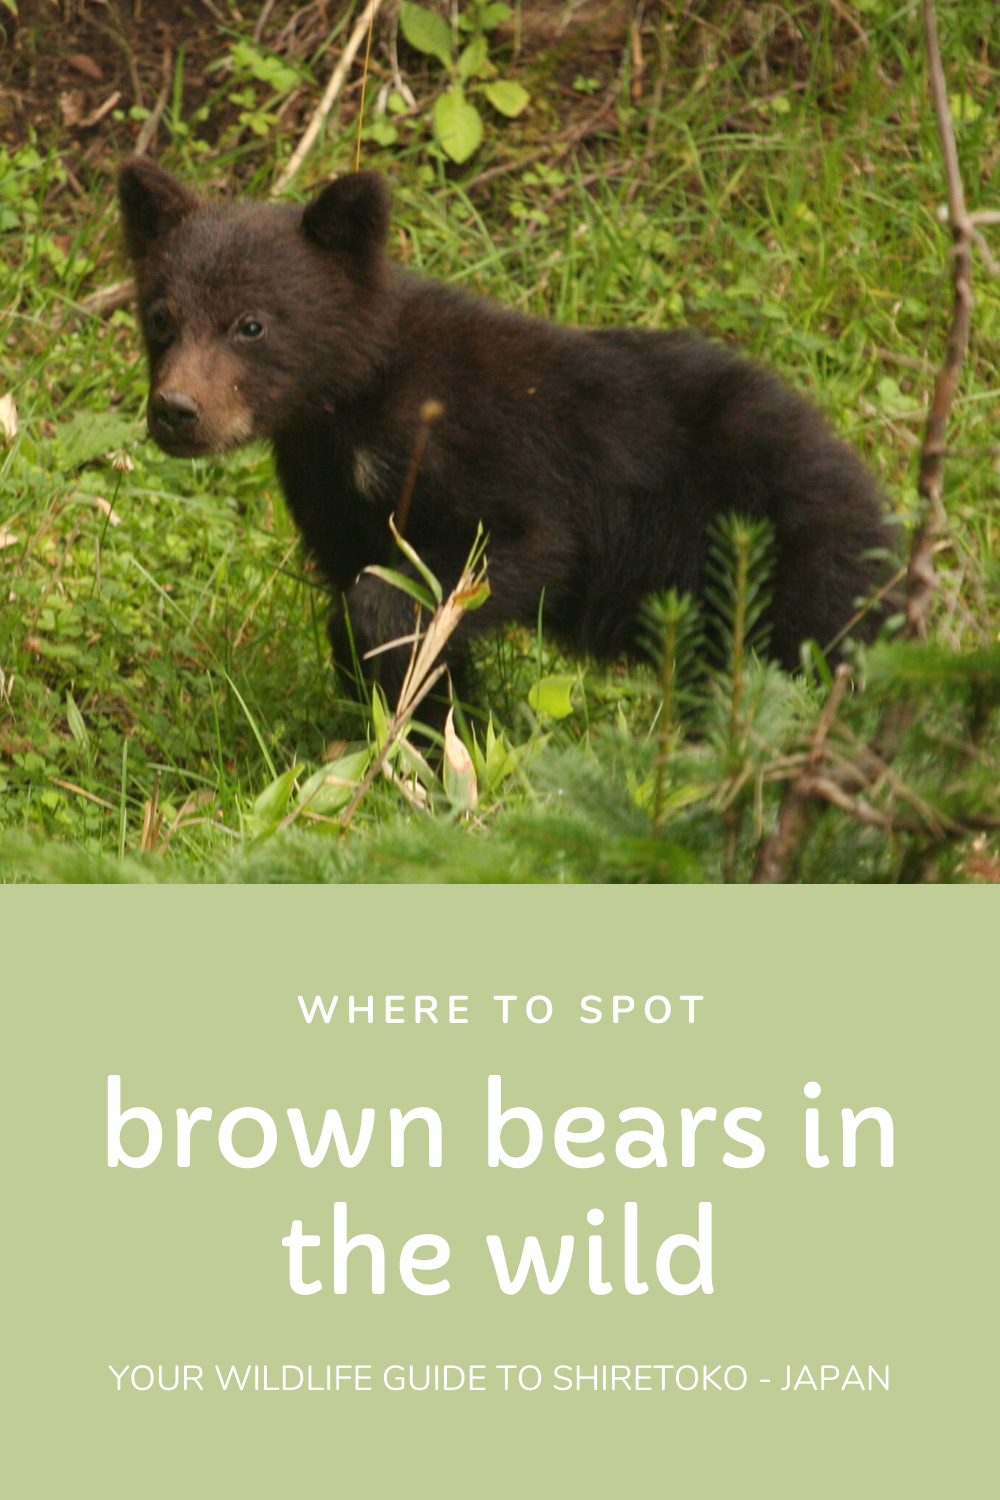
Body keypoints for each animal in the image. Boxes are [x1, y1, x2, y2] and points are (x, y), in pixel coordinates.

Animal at [117, 158, 892, 719]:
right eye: (160, 316)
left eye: (250, 323)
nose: (178, 410)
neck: (351, 409)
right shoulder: (330, 493)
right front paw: (427, 723)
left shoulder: (492, 454)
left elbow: (507, 551)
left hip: (779, 555)